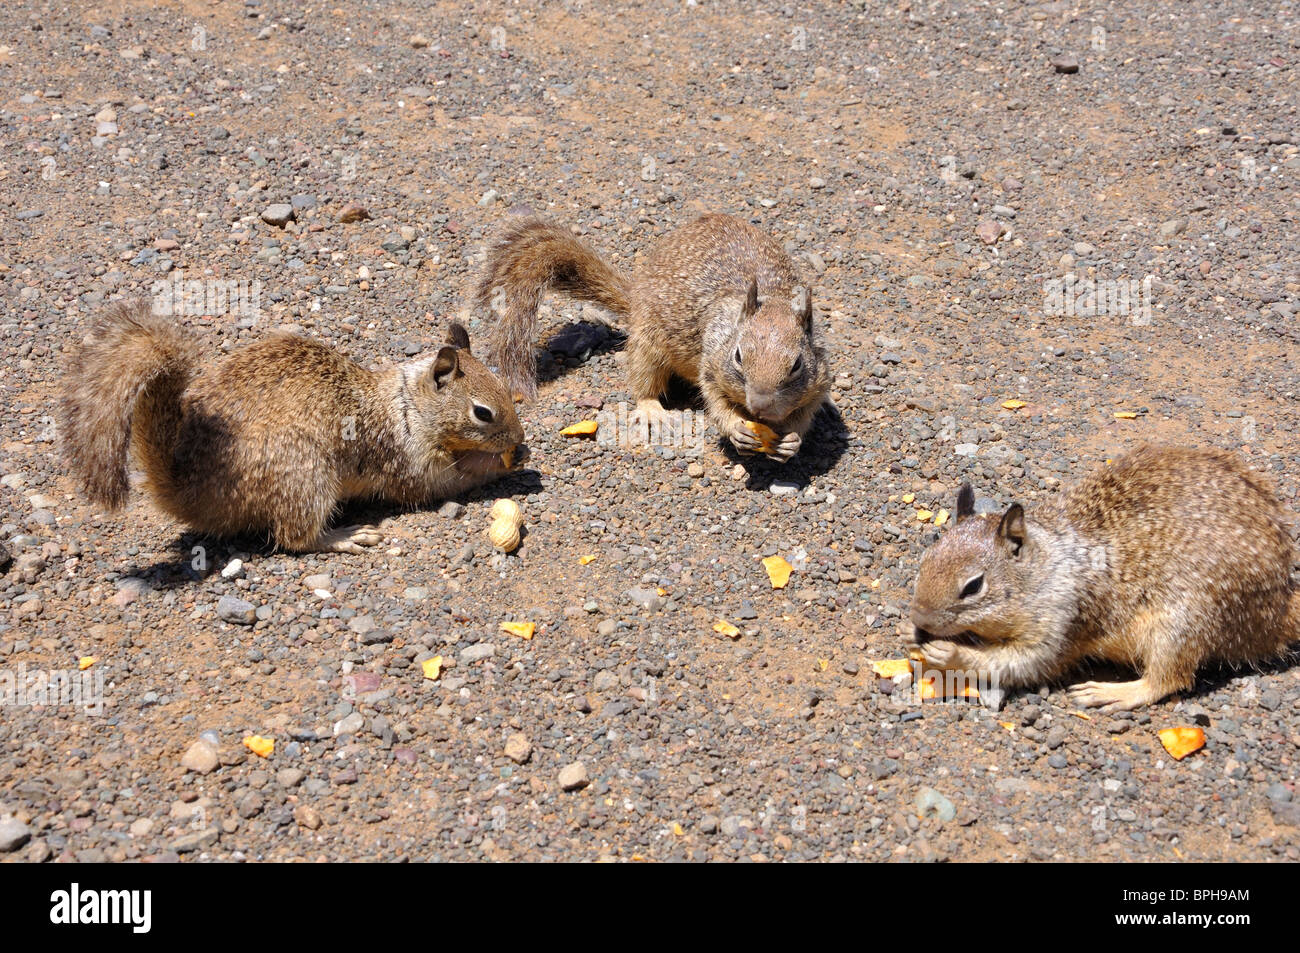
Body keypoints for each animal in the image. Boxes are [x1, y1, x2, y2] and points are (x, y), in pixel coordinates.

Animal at [58, 301, 524, 554]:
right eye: (483, 413)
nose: (519, 438)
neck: (406, 404)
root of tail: (189, 488)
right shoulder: (407, 461)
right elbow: (445, 482)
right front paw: (500, 465)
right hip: (304, 475)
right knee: (293, 536)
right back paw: (344, 536)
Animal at [474, 212, 832, 462]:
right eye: (738, 356)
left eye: (797, 365)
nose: (759, 406)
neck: (774, 300)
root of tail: (635, 297)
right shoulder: (711, 363)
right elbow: (715, 401)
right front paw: (736, 429)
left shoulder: (821, 381)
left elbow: (807, 411)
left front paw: (792, 439)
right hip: (648, 342)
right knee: (644, 379)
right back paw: (652, 411)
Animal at [909, 445, 1300, 711]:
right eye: (925, 558)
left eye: (973, 586)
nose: (919, 619)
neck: (1046, 566)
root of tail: (1278, 611)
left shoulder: (1062, 620)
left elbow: (1026, 663)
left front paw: (951, 653)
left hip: (1183, 624)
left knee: (1169, 679)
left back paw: (1113, 693)